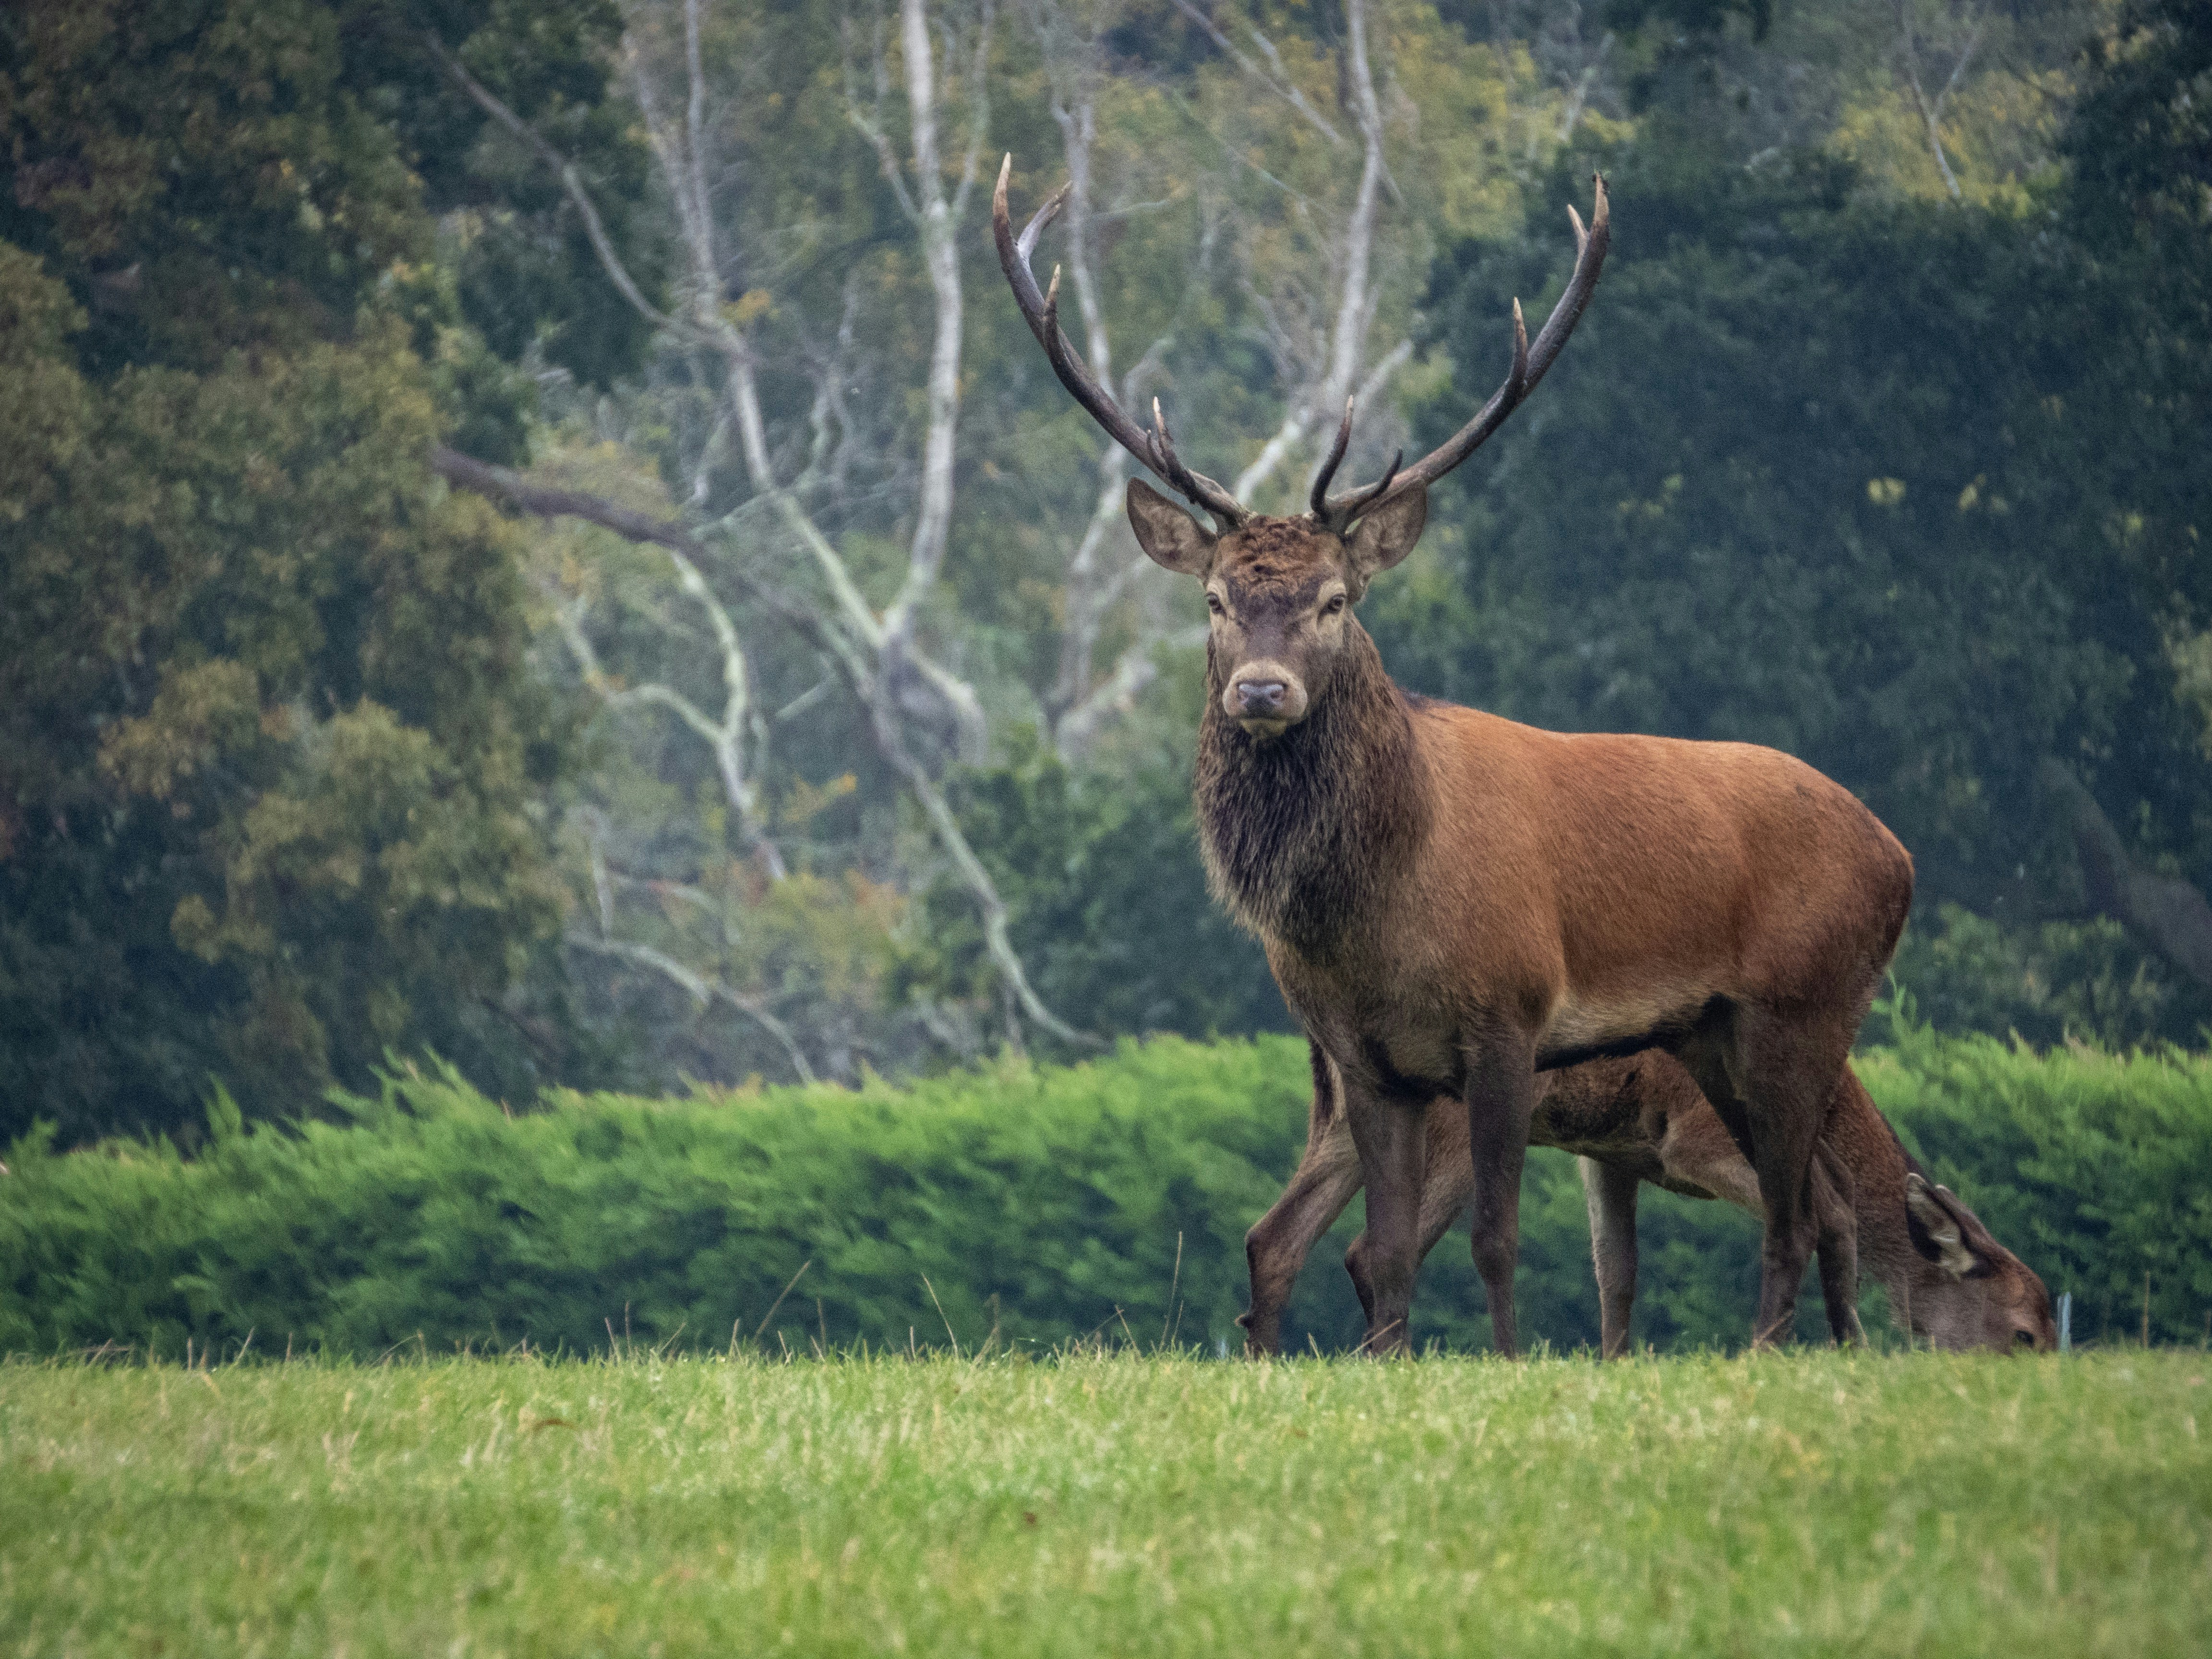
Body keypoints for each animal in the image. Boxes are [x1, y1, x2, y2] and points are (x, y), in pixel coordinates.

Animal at [995, 158, 1915, 1355]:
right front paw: (1387, 1361)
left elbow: (1496, 1239)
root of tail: (1900, 856)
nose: (1262, 691)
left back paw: (1780, 1353)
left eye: (1335, 600)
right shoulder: (1366, 1058)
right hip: (1717, 1035)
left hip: (1808, 1006)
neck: (1378, 910)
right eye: (1215, 599)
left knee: (1801, 1208)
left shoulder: (1510, 1018)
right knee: (1816, 1199)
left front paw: (1512, 1363)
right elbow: (1384, 1255)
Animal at [1239, 1041, 2057, 1356]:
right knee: (1369, 1249)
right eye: (2024, 1334)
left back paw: (1270, 1362)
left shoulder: (1610, 1153)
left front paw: (1615, 1365)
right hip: (1446, 1123)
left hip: (1339, 1121)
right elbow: (1834, 1205)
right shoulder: (1692, 1138)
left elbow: (1617, 1270)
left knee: (1274, 1235)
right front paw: (1839, 1348)